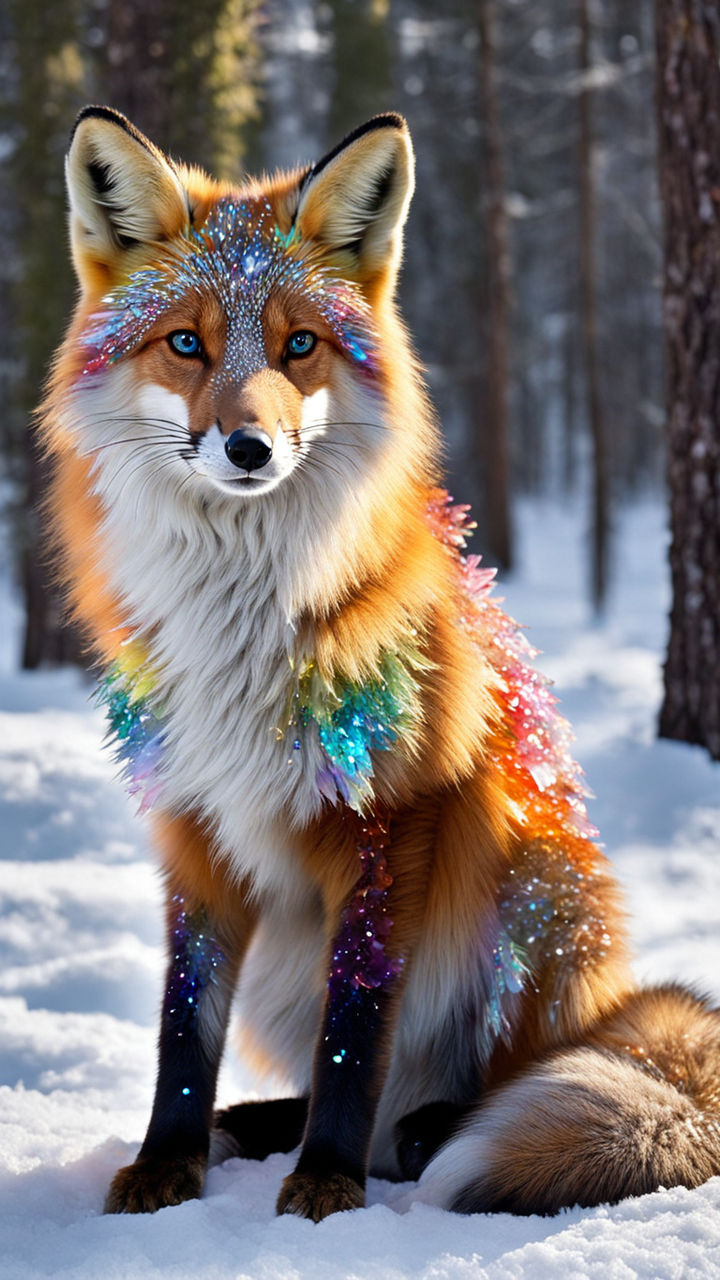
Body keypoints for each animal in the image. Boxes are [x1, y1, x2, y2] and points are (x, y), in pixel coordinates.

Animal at [37, 104, 720, 1222]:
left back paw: (418, 1133)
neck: (243, 626)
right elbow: (184, 1027)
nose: (250, 448)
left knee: (463, 1084)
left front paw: (325, 1182)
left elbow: (354, 1035)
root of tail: (613, 993)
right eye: (186, 344)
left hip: (529, 884)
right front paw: (168, 1164)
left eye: (298, 345)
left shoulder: (391, 818)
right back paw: (255, 1123)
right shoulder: (192, 820)